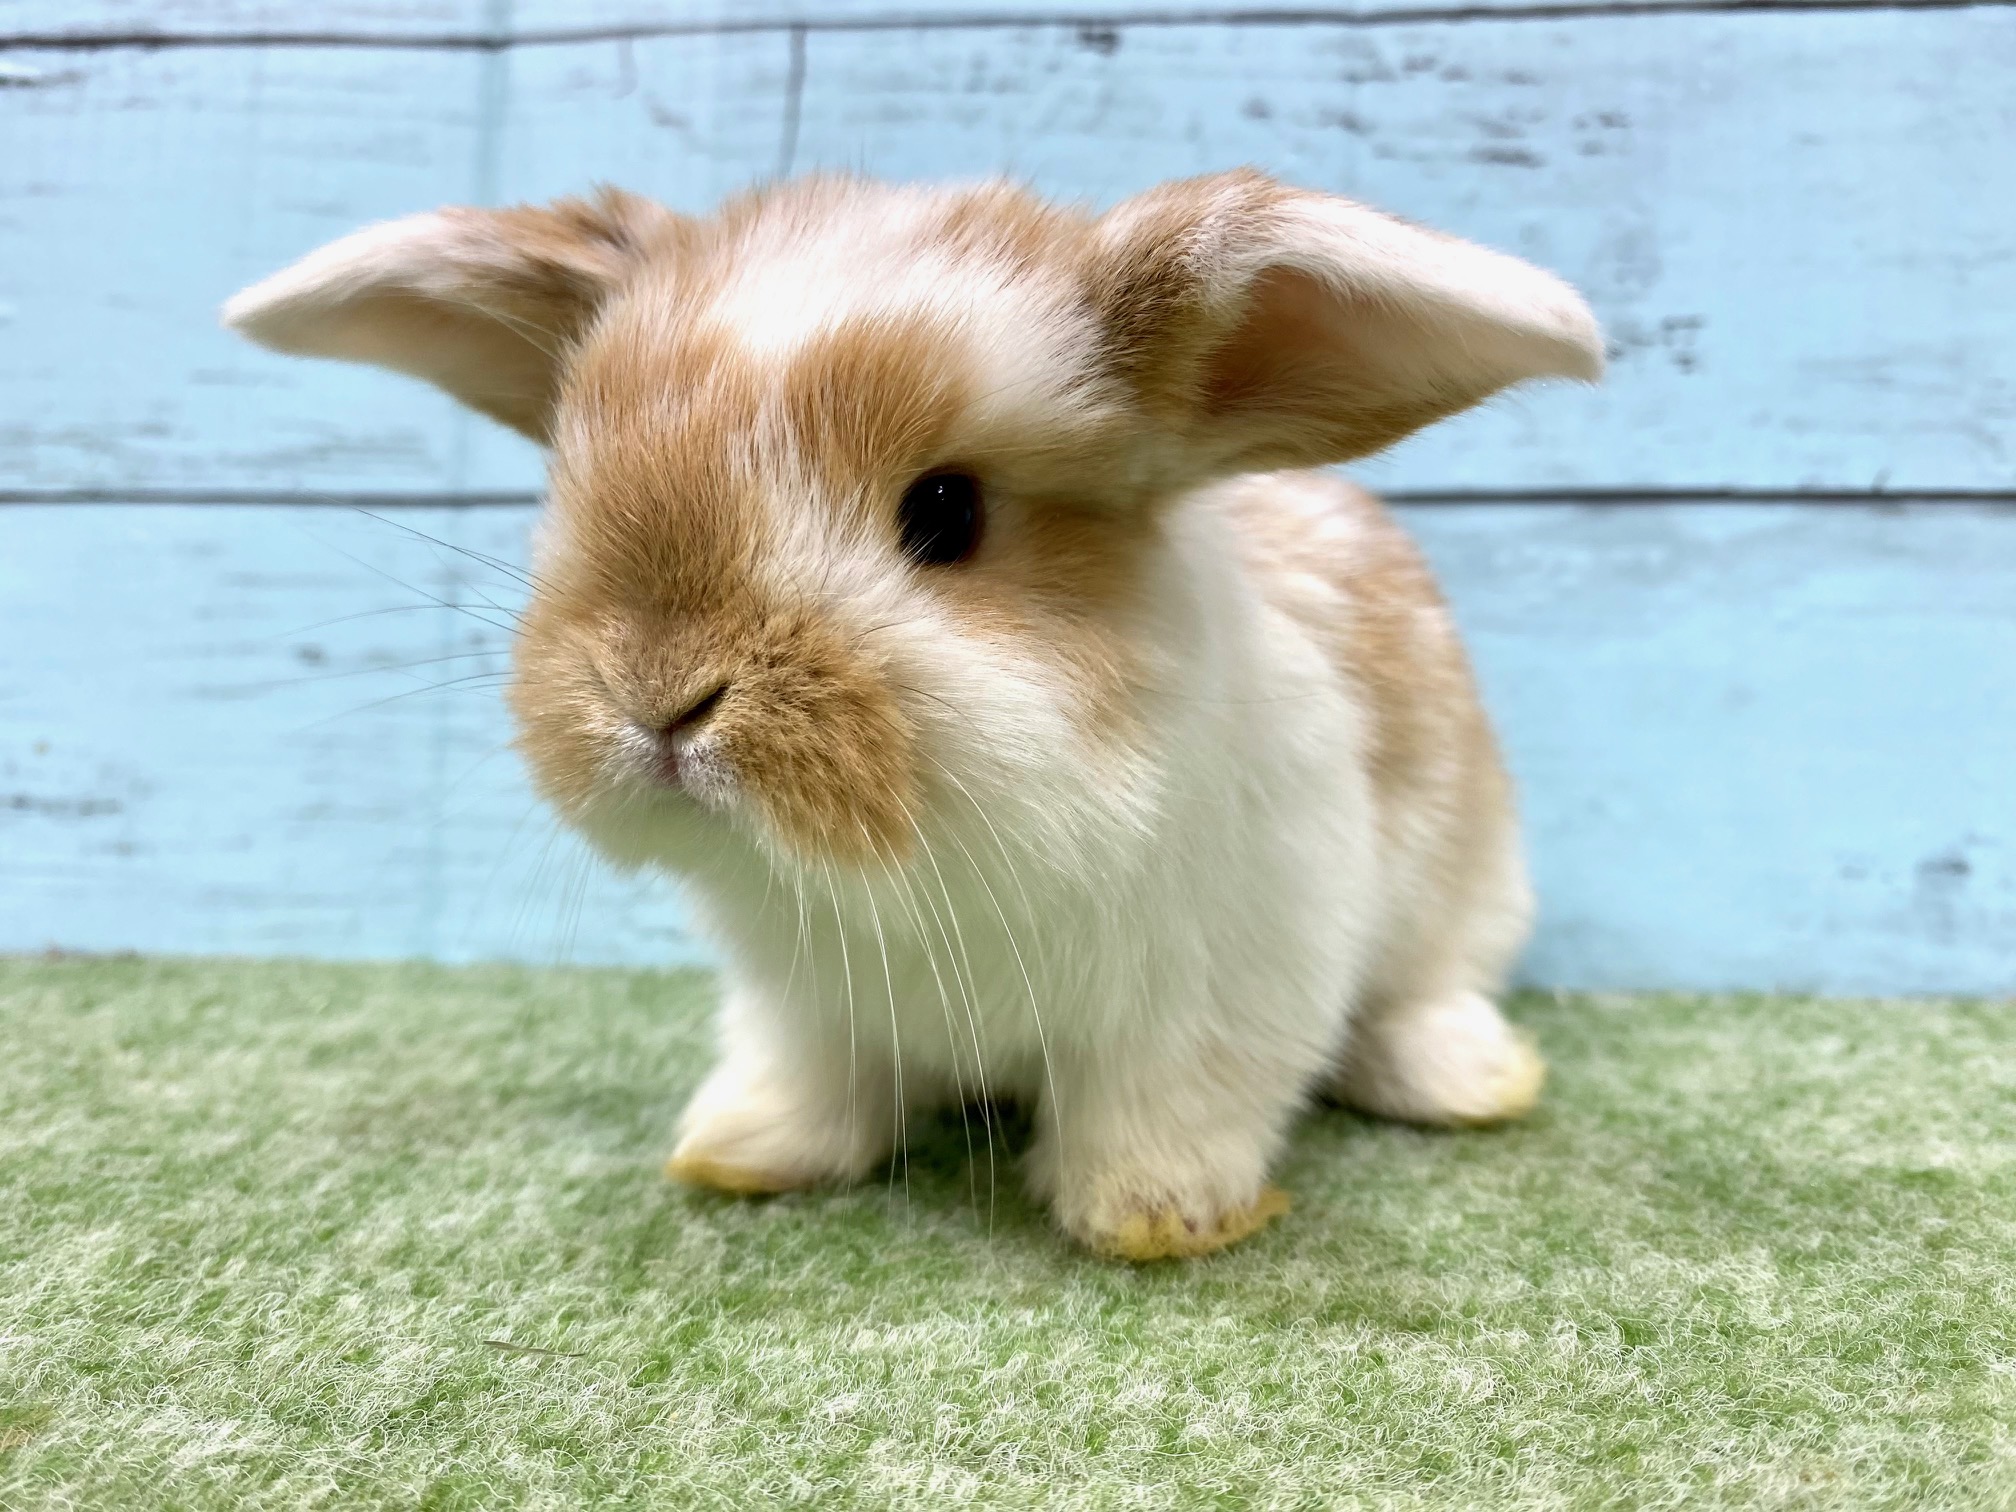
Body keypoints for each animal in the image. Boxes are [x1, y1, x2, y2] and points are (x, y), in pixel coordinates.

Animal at [224, 170, 1601, 1259]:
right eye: (576, 475)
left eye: (945, 512)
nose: (659, 695)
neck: (922, 870)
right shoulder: (800, 1004)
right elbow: (807, 1083)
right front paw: (744, 1151)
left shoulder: (1222, 986)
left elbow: (1170, 1108)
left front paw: (1153, 1219)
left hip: (1466, 883)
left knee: (1431, 990)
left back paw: (1466, 1081)